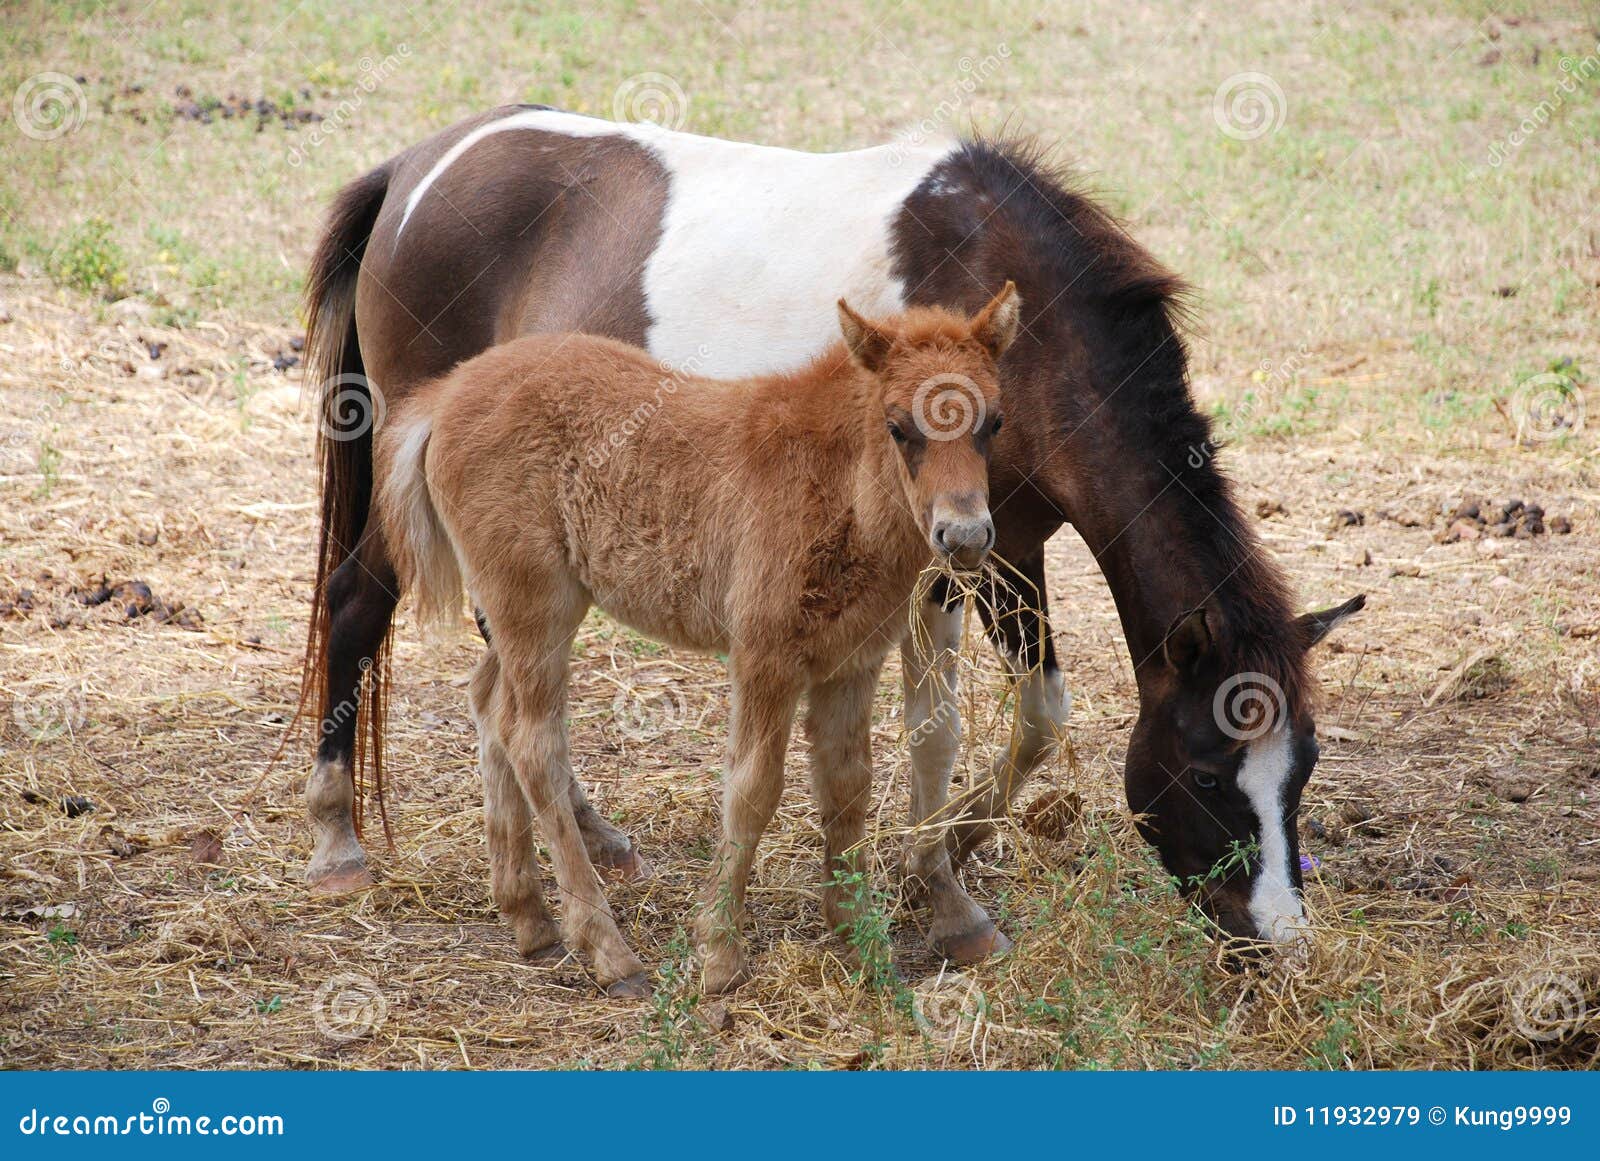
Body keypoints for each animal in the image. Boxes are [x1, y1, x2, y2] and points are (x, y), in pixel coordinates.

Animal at [373, 288, 1017, 994]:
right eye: (900, 427)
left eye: (994, 424)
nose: (965, 537)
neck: (837, 483)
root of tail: (445, 396)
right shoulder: (765, 657)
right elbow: (753, 789)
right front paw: (719, 956)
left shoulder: (852, 662)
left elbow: (848, 786)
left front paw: (858, 945)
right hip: (534, 606)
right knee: (532, 740)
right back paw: (609, 952)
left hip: (529, 614)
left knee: (490, 705)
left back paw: (531, 921)